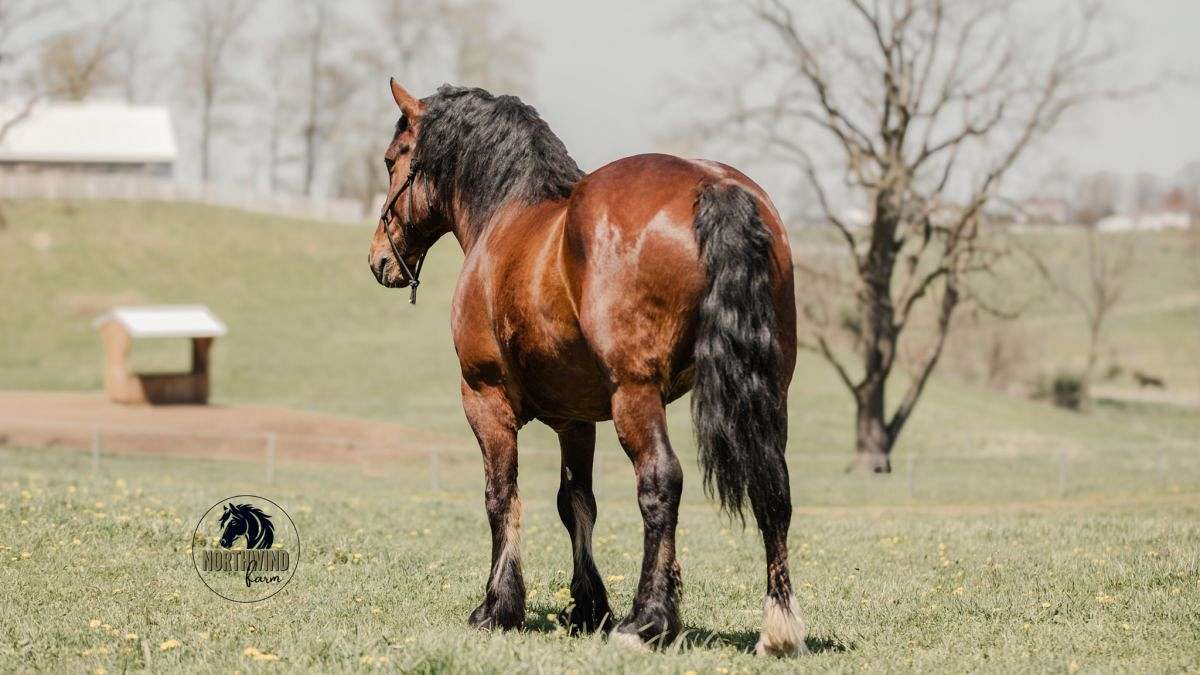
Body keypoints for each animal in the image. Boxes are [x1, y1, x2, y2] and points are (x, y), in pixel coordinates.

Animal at [369, 79, 803, 657]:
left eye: (392, 159)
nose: (379, 260)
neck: (508, 214)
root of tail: (716, 186)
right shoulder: (576, 419)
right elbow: (576, 501)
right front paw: (588, 607)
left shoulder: (484, 398)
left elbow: (501, 496)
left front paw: (498, 607)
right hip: (769, 390)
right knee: (772, 488)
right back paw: (778, 627)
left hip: (634, 394)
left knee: (661, 481)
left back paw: (648, 621)